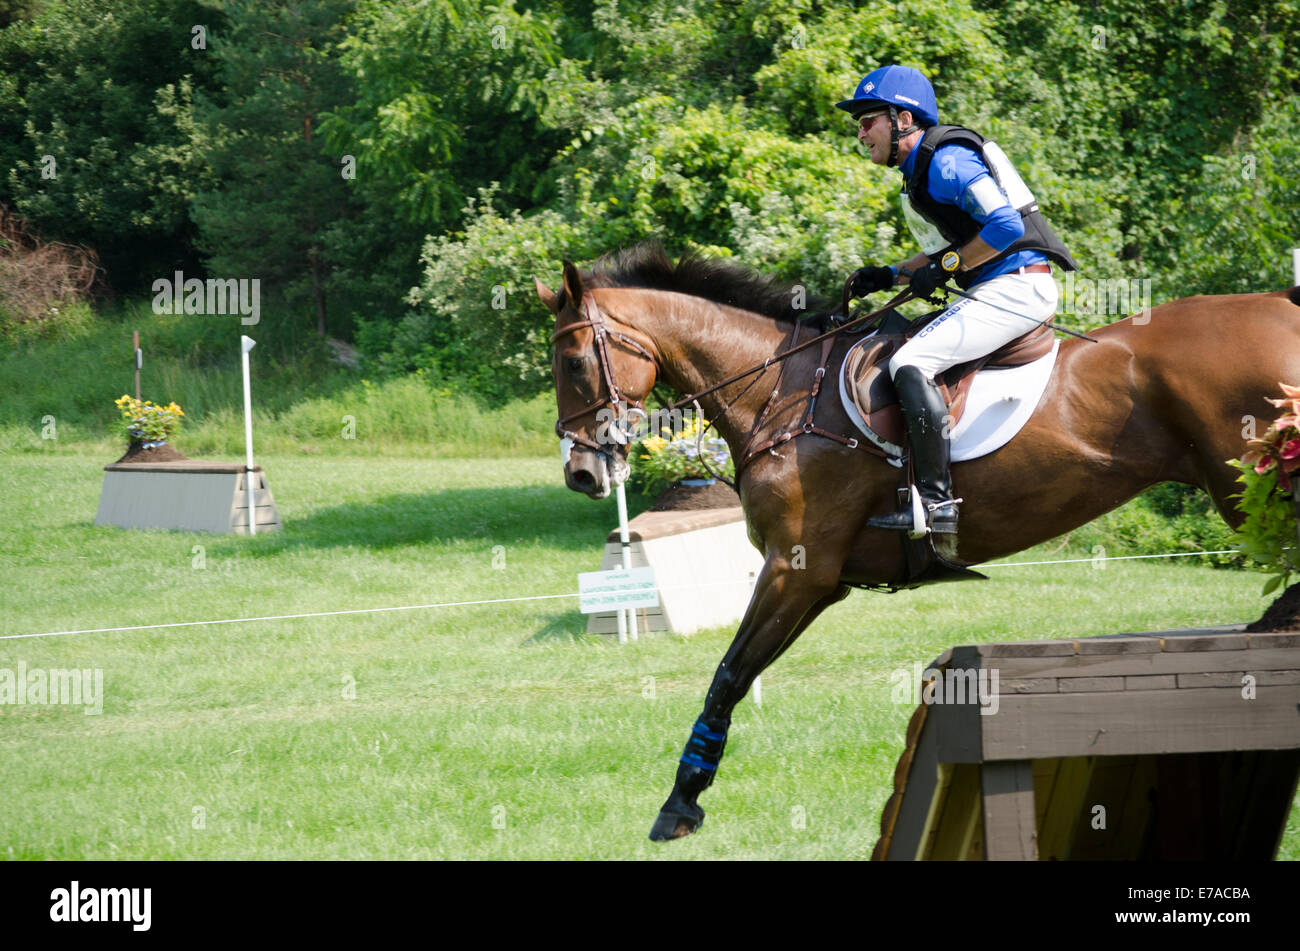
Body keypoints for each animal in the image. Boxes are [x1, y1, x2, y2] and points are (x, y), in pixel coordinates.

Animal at [535, 243, 1300, 841]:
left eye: (571, 362)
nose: (582, 473)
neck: (781, 390)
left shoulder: (796, 571)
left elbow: (728, 673)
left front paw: (679, 803)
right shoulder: (820, 581)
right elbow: (740, 670)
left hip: (1244, 481)